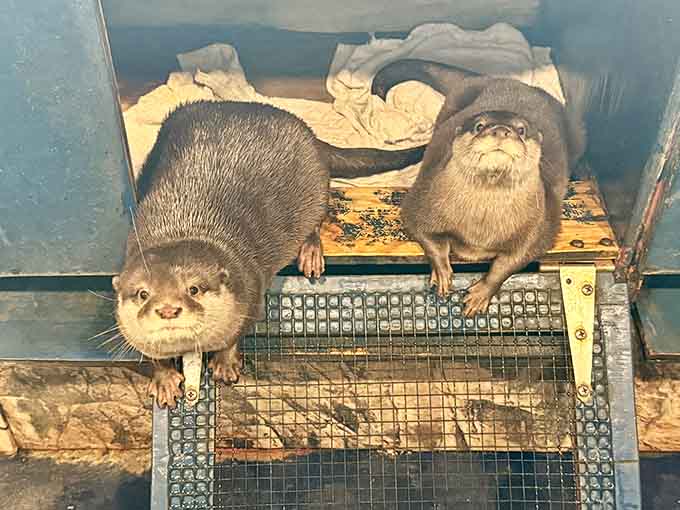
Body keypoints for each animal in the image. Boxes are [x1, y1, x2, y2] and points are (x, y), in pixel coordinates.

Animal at [113, 100, 425, 408]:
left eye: (194, 289)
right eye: (143, 293)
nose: (168, 309)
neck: (185, 227)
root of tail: (308, 134)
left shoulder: (250, 293)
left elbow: (237, 333)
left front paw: (225, 363)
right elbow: (151, 354)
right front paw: (164, 379)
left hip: (316, 188)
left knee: (316, 218)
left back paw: (310, 252)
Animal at [372, 59, 586, 317]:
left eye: (522, 130)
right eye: (479, 125)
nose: (502, 130)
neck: (480, 228)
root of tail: (501, 79)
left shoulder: (539, 227)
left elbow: (513, 261)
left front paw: (482, 293)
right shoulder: (423, 200)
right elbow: (425, 234)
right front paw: (441, 273)